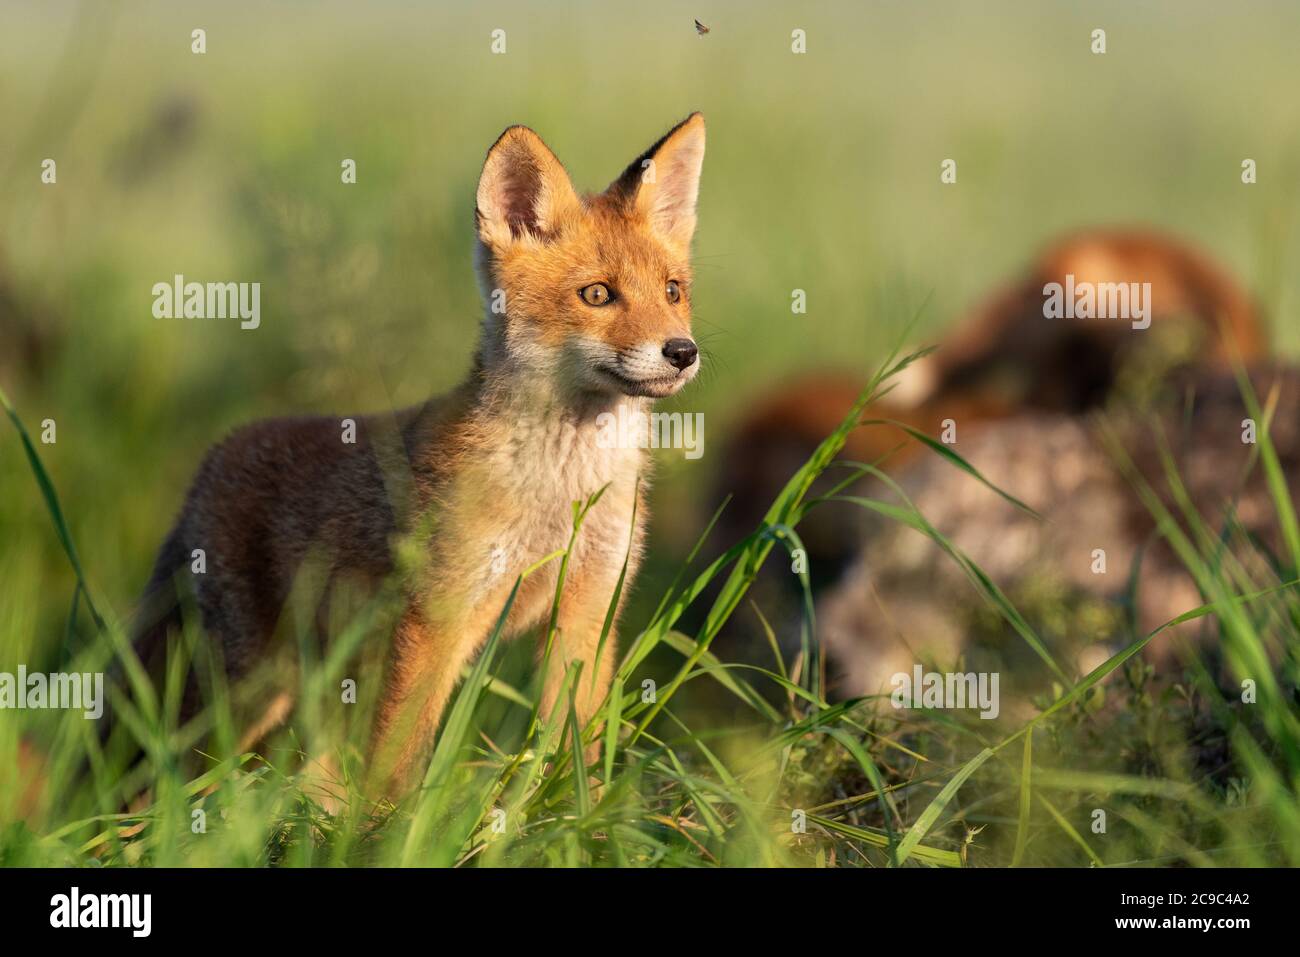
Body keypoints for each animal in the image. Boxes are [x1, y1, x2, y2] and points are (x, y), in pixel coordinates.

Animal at [128, 113, 708, 799]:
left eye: (672, 291)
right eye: (597, 295)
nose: (682, 351)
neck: (561, 496)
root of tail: (215, 454)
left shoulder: (588, 614)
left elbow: (576, 752)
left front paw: (580, 814)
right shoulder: (437, 620)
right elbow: (400, 763)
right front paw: (390, 824)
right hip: (245, 692)